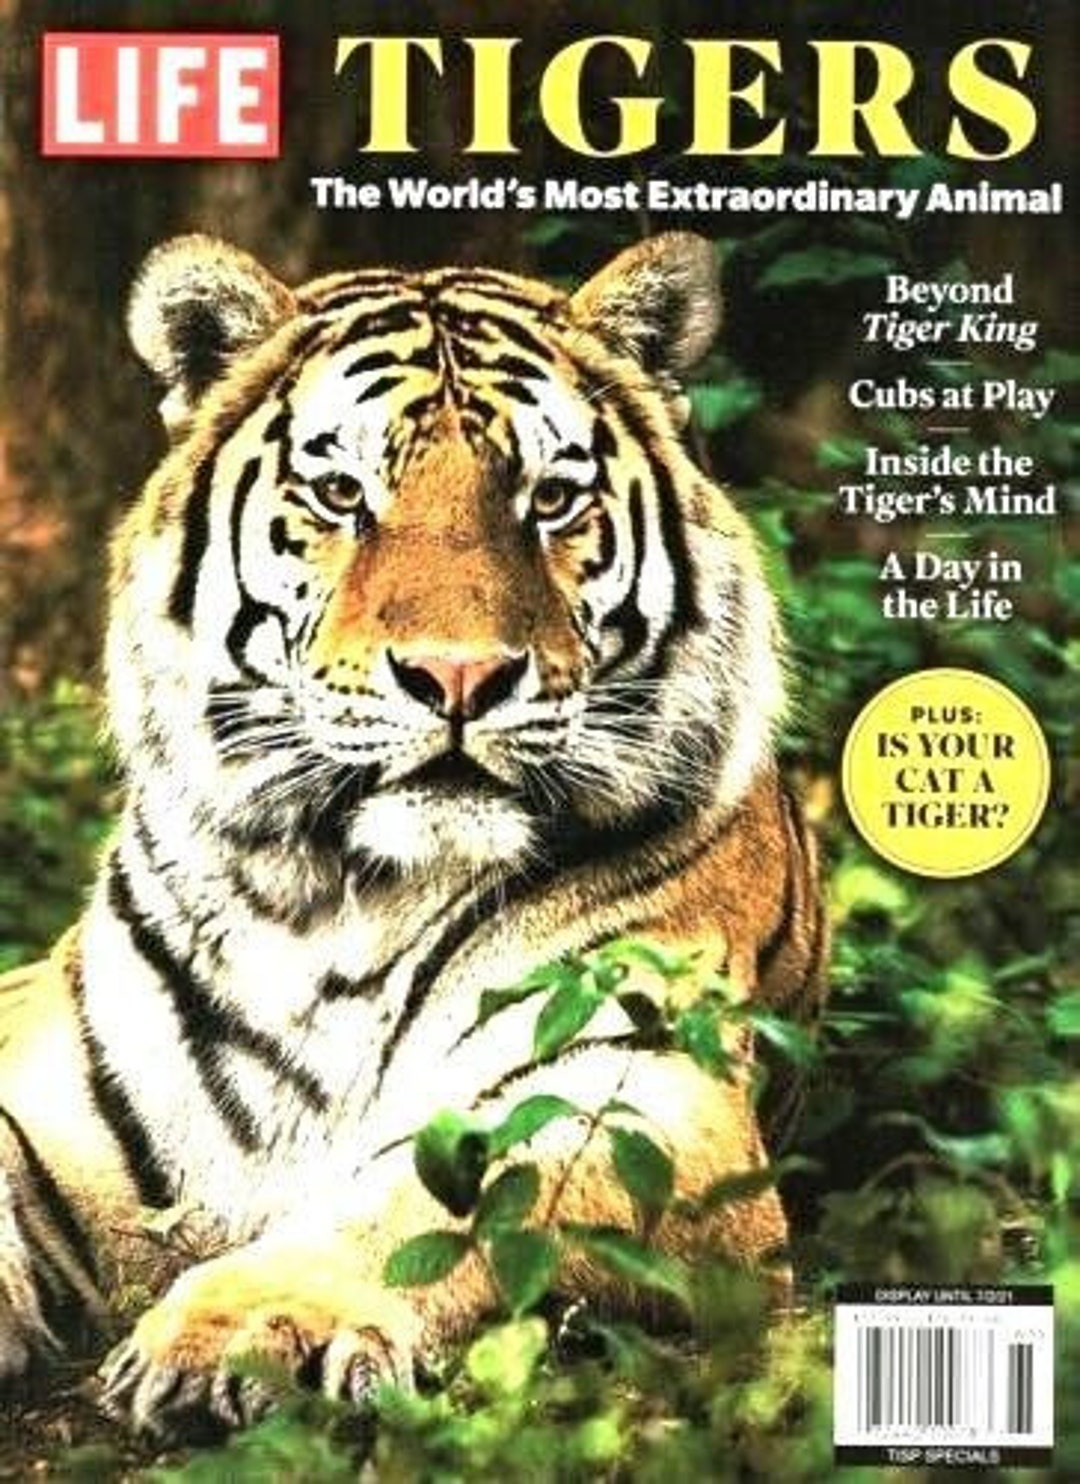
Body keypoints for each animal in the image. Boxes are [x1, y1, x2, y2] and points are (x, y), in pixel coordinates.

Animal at [0, 231, 826, 1441]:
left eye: (551, 497)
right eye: (342, 492)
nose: (460, 676)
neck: (333, 896)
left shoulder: (643, 1093)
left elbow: (438, 1195)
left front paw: (249, 1325)